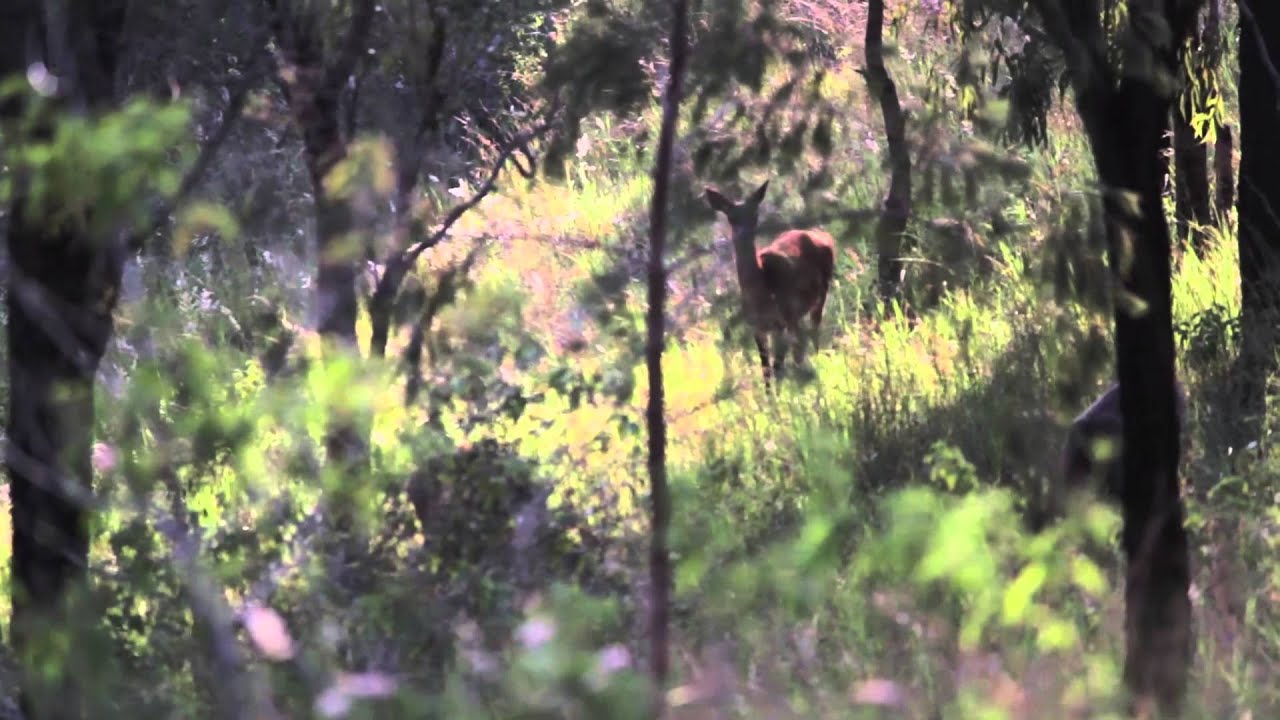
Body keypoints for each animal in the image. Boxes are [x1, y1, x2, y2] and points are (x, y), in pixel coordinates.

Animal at [704, 180, 835, 388]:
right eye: (731, 217)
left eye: (755, 214)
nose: (743, 233)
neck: (761, 289)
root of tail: (821, 234)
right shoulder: (757, 326)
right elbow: (766, 370)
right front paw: (770, 396)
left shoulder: (780, 322)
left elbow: (777, 368)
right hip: (795, 313)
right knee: (799, 345)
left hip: (819, 294)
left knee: (813, 334)